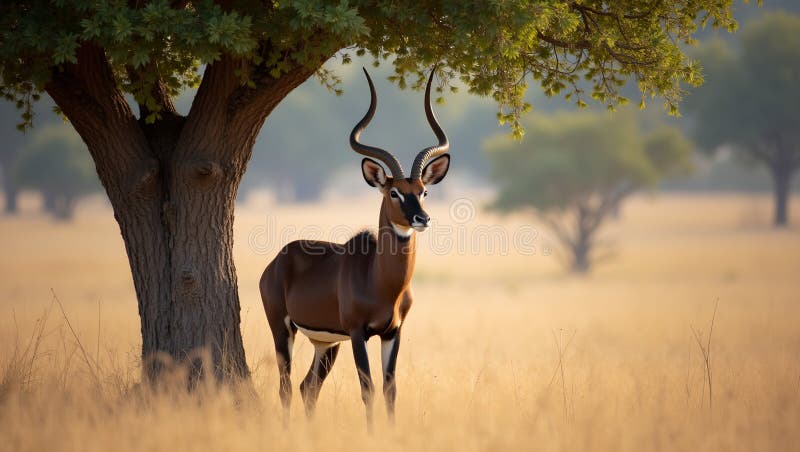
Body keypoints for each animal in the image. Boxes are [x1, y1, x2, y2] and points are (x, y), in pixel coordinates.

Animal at [259, 67, 450, 426]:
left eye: (423, 190)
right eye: (393, 192)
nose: (422, 218)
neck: (380, 280)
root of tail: (277, 261)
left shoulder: (392, 332)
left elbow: (390, 389)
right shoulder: (358, 332)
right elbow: (368, 389)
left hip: (325, 343)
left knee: (307, 388)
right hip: (283, 330)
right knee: (286, 387)